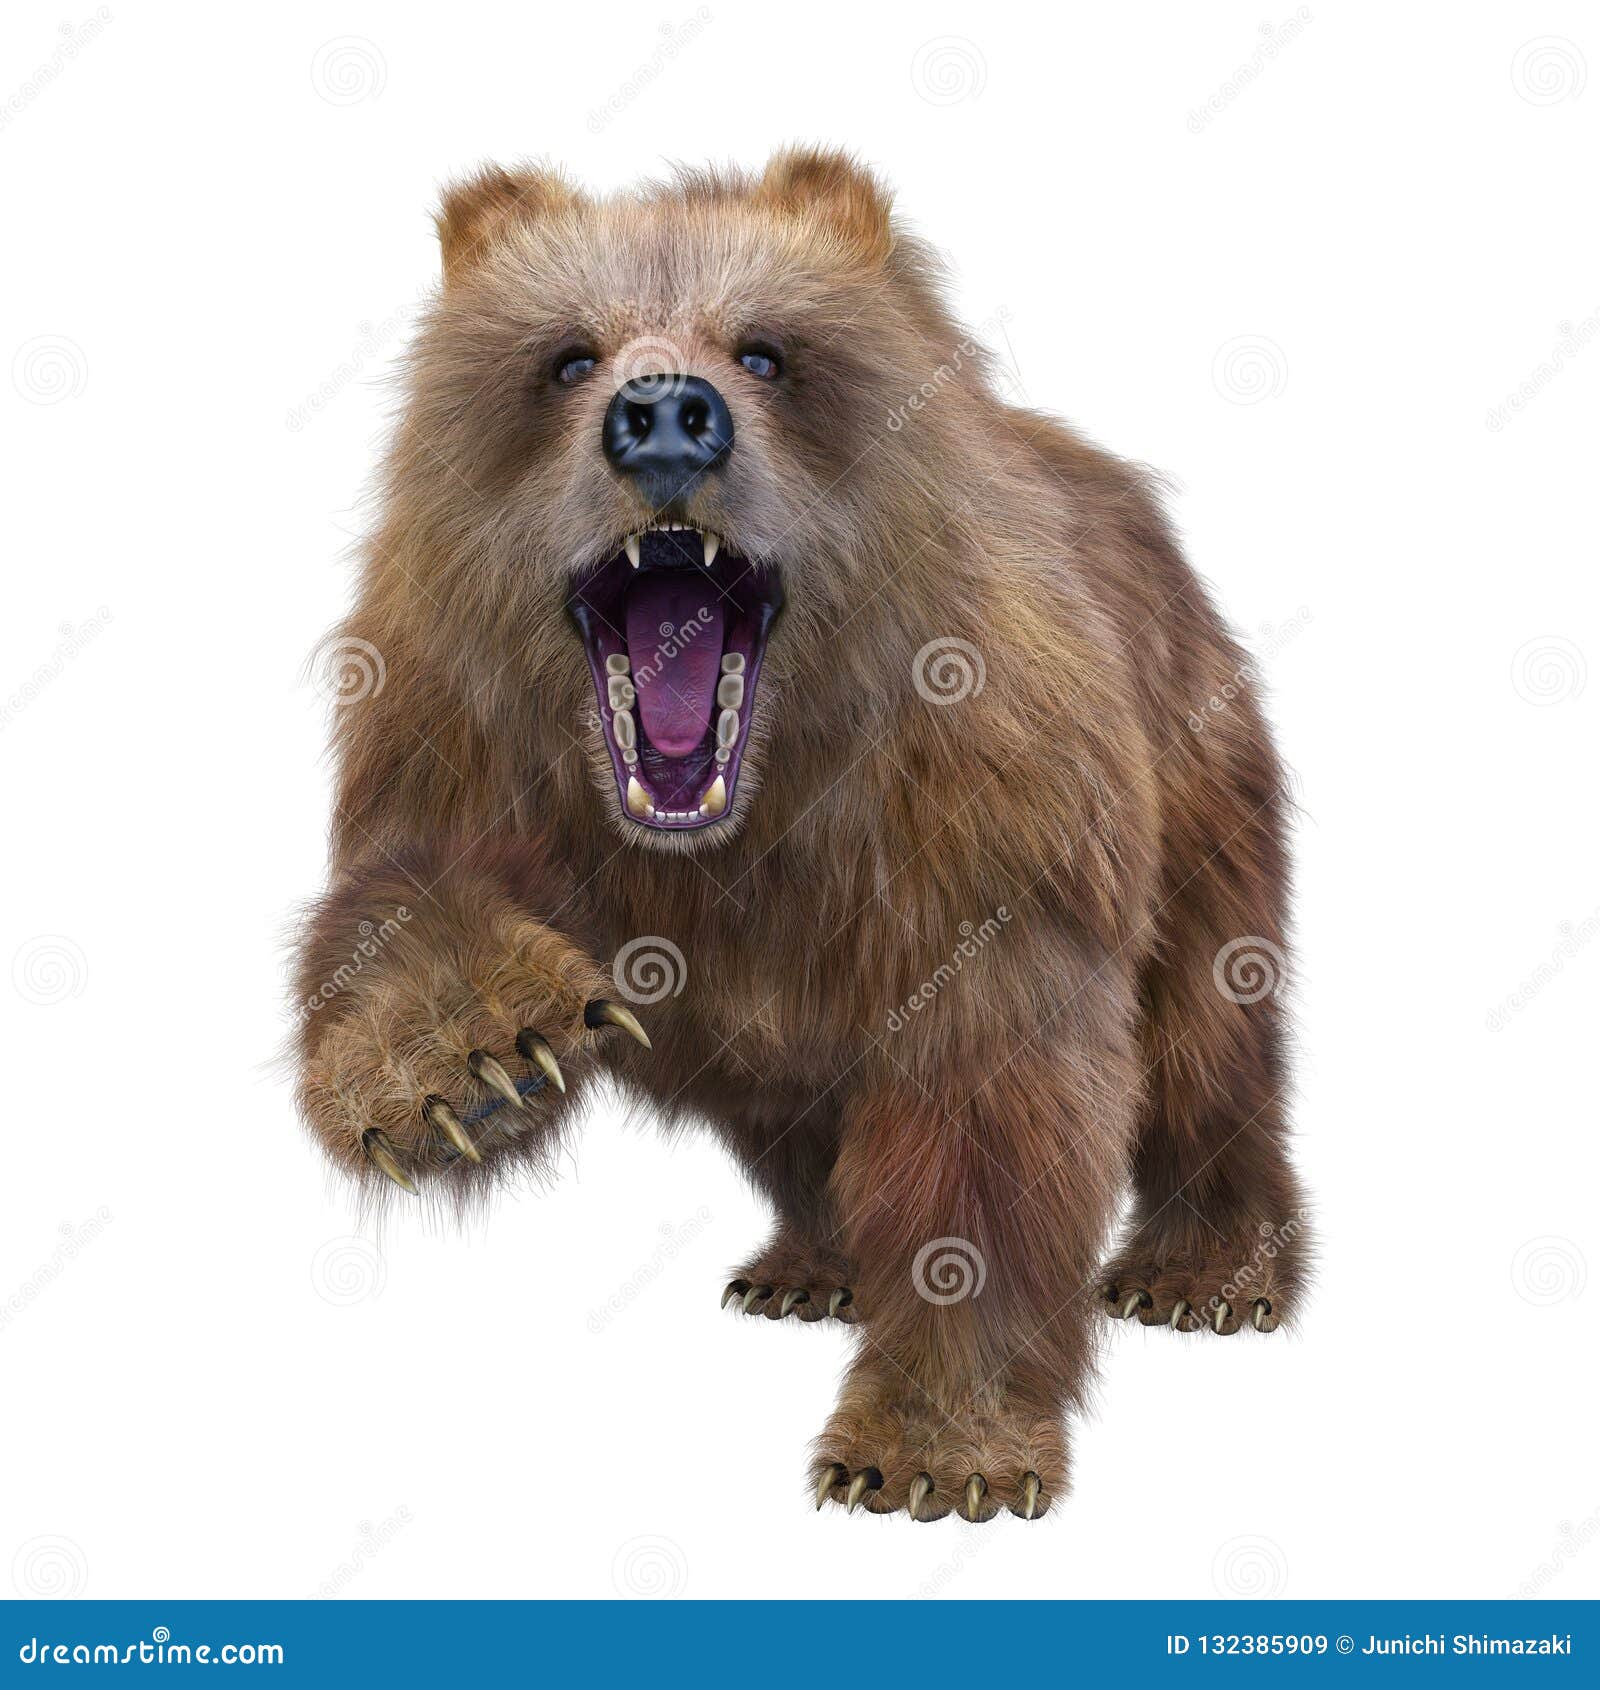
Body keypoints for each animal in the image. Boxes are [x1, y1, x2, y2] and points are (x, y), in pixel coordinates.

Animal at [294, 147, 1308, 1522]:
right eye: (567, 357)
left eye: (766, 352)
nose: (666, 411)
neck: (740, 822)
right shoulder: (457, 744)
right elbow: (394, 904)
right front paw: (477, 1063)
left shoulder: (982, 829)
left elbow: (989, 1120)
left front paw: (932, 1448)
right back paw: (806, 1262)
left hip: (1193, 771)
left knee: (1207, 1035)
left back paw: (1208, 1271)